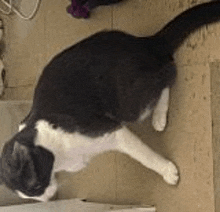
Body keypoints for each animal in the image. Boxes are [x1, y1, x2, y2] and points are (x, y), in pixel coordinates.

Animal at [0, 0, 220, 202]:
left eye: (36, 186)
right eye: (32, 196)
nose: (48, 198)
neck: (57, 155)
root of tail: (142, 42)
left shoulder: (110, 131)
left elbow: (143, 155)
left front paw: (167, 171)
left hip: (129, 102)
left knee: (168, 72)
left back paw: (159, 116)